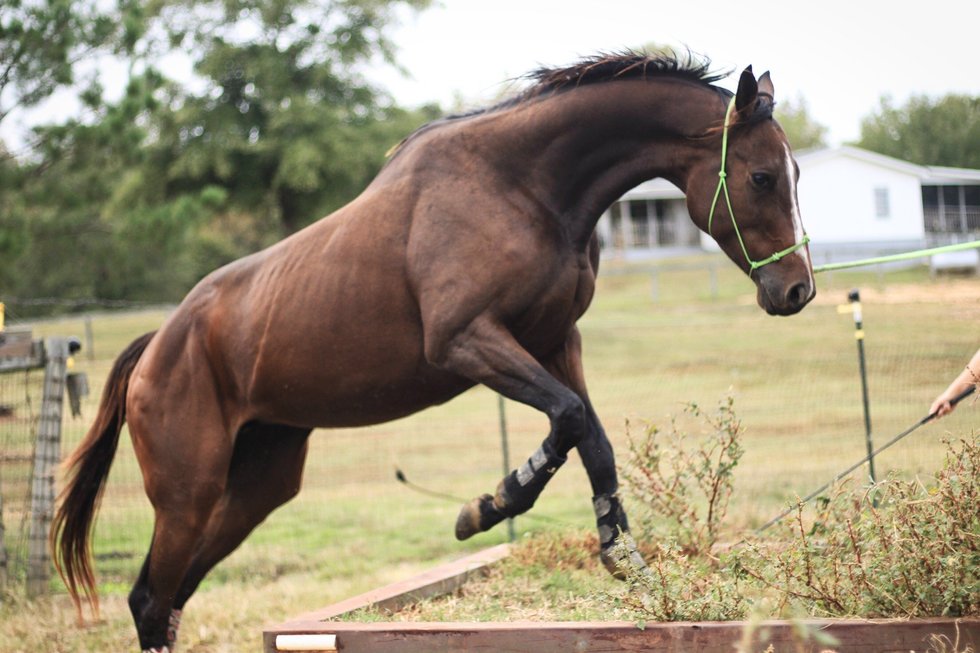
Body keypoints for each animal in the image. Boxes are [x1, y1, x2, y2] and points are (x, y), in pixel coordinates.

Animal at [52, 51, 815, 652]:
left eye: (795, 174)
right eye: (761, 177)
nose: (797, 289)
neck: (523, 184)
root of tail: (159, 345)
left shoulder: (553, 341)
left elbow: (590, 438)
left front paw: (619, 550)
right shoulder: (467, 343)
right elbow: (567, 420)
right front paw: (487, 506)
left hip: (256, 486)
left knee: (170, 598)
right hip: (189, 492)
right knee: (150, 599)